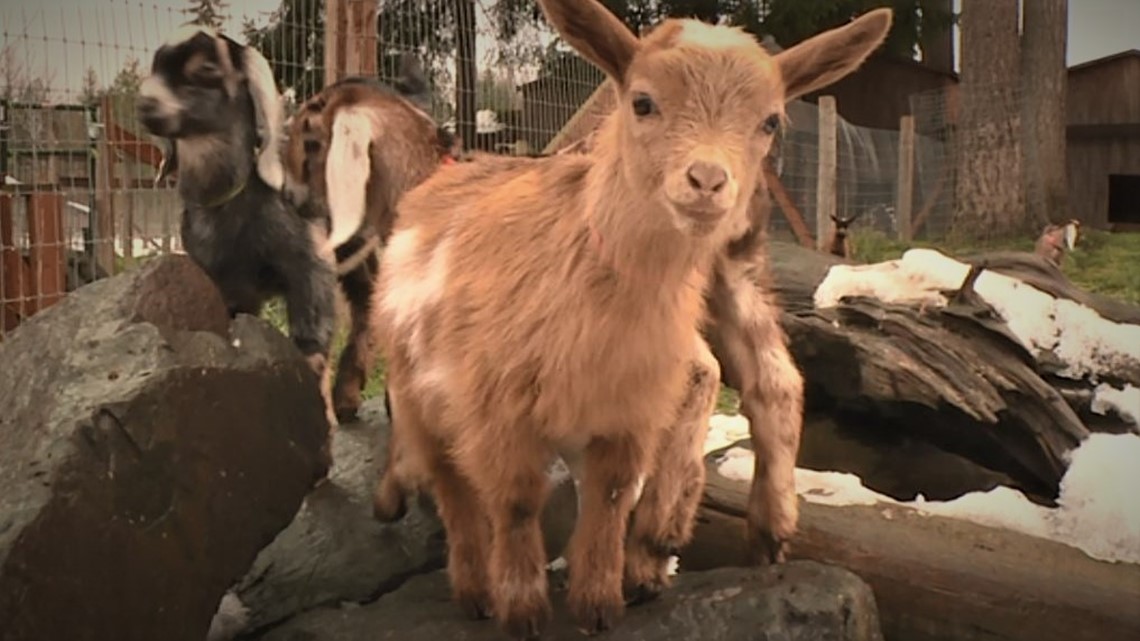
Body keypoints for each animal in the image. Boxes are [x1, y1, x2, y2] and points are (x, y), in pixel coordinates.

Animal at [136, 25, 342, 436]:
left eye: (206, 69)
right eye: (157, 64)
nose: (145, 105)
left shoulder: (313, 270)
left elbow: (312, 346)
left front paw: (323, 420)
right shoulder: (227, 286)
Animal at [366, 1, 891, 637]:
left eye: (770, 121)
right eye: (642, 101)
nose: (709, 181)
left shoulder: (615, 404)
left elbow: (605, 491)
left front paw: (587, 599)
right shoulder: (500, 405)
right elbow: (516, 498)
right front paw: (529, 604)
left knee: (728, 375)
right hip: (731, 273)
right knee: (770, 378)